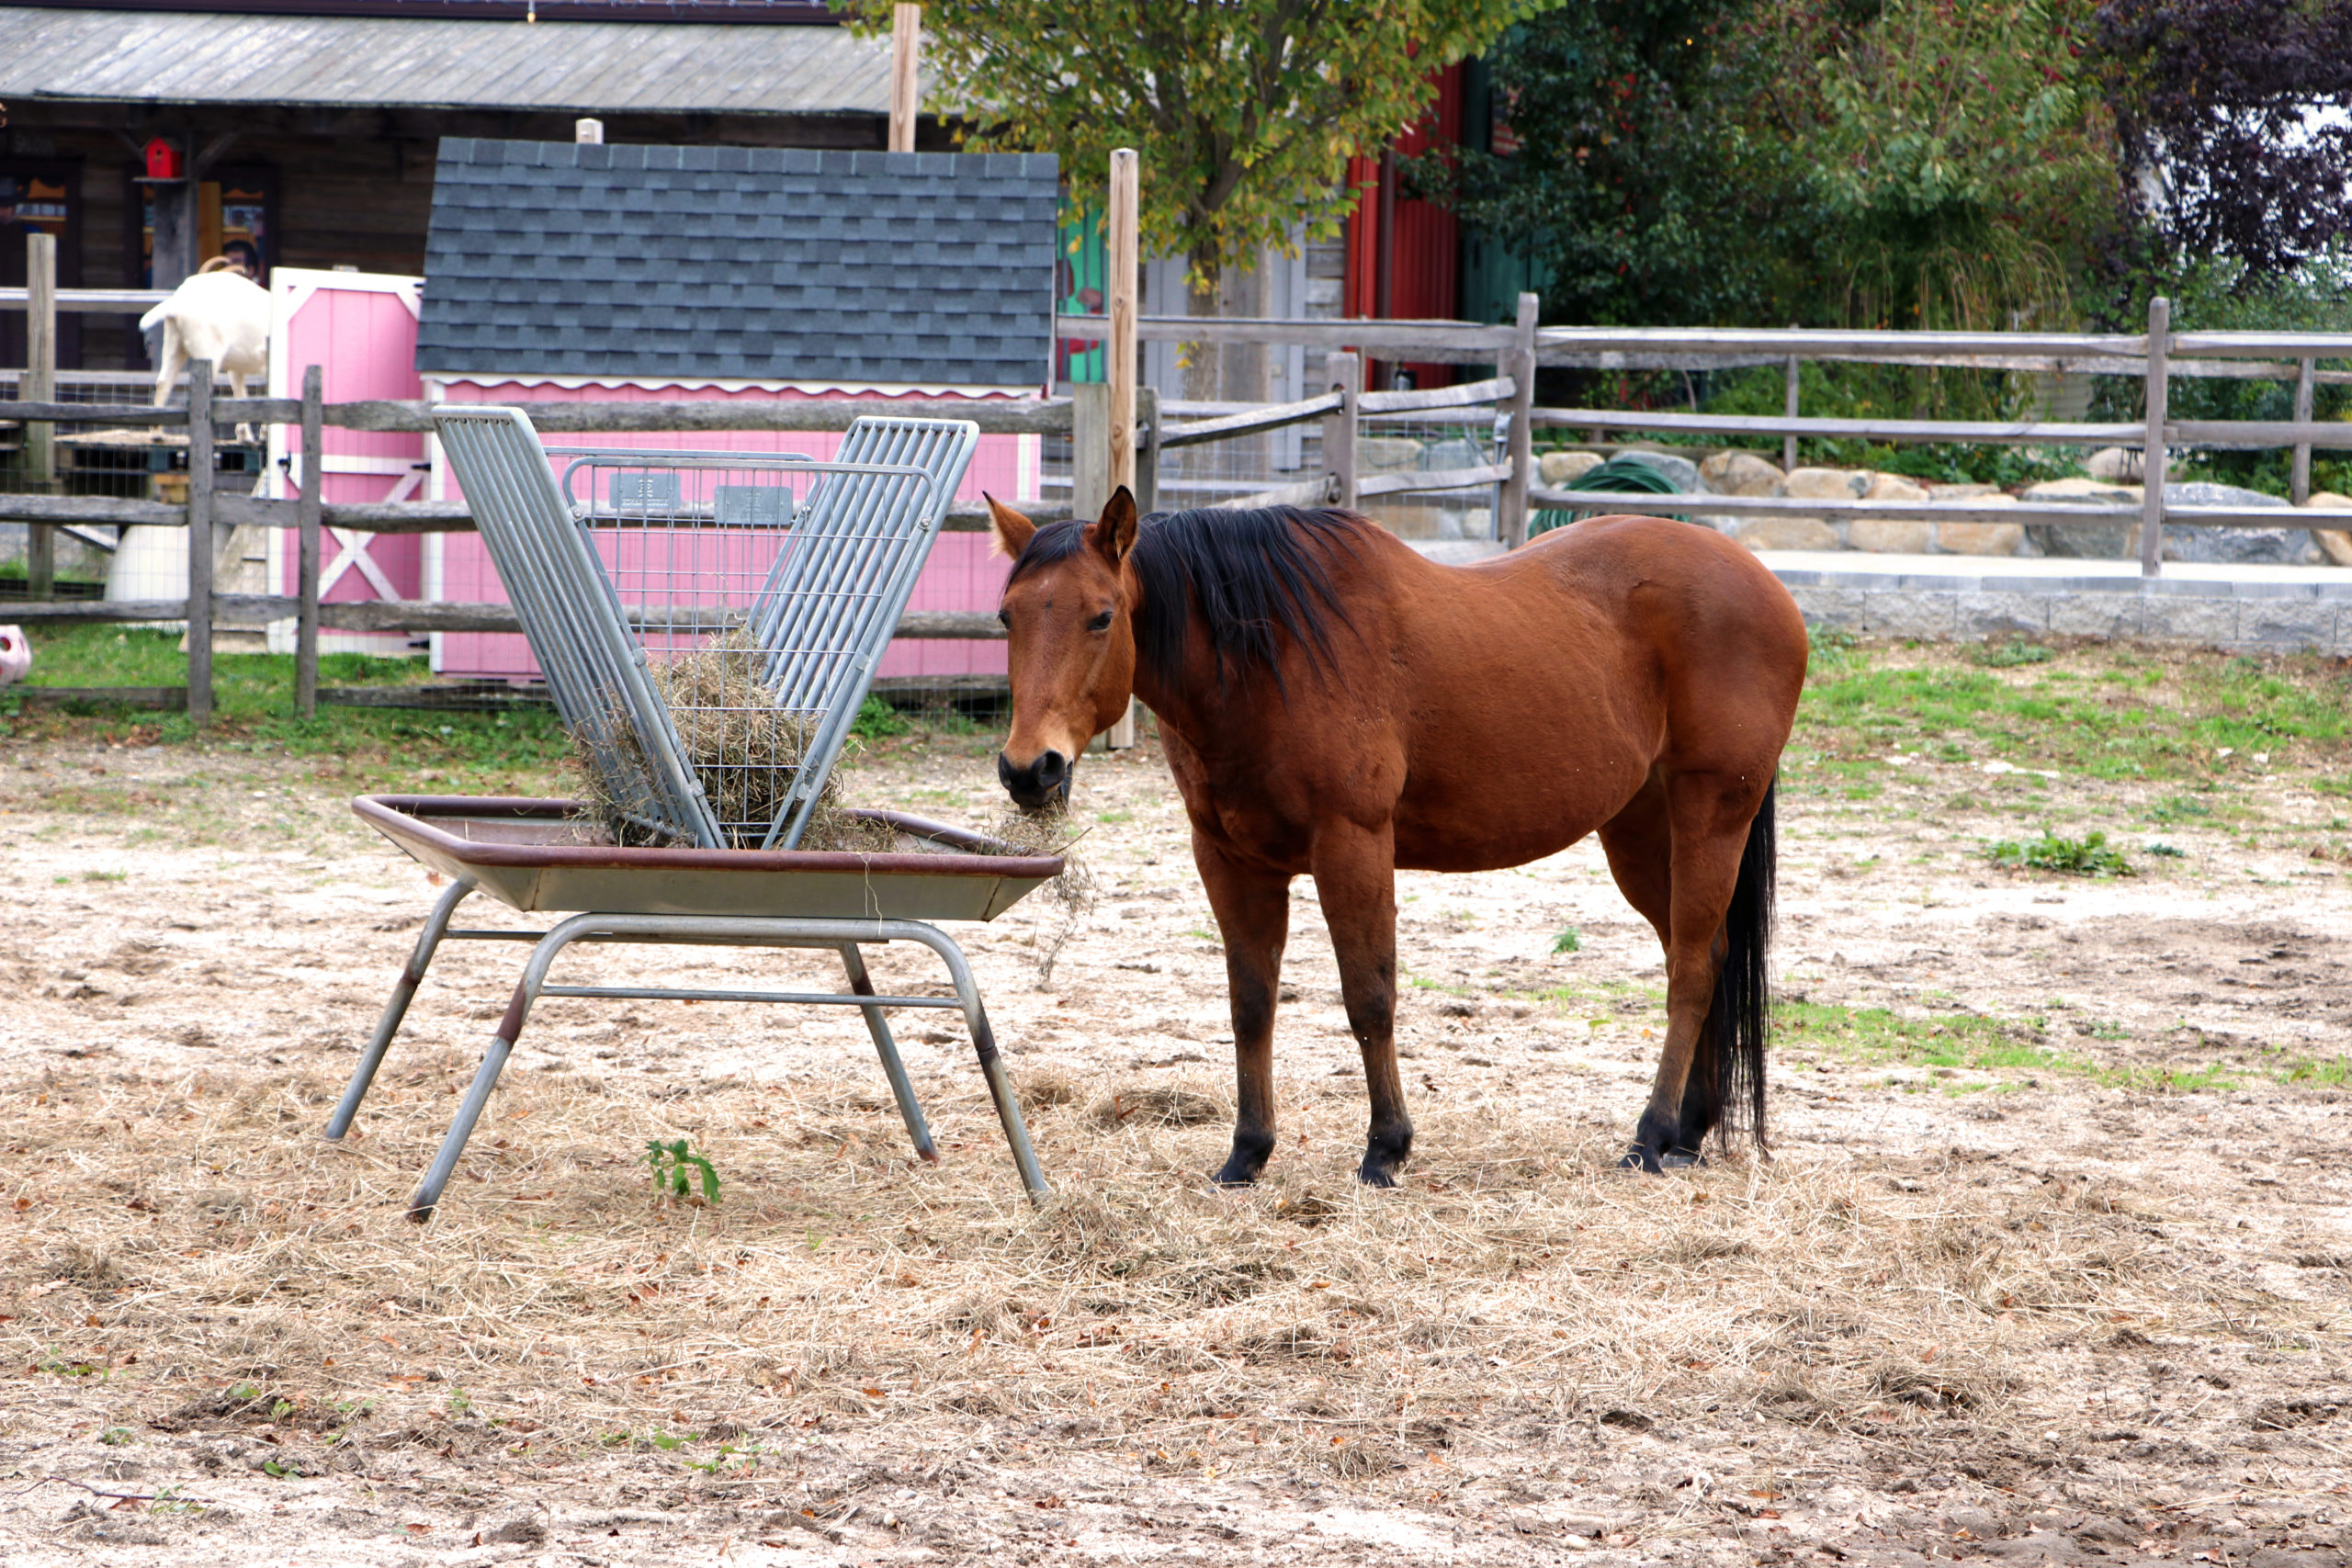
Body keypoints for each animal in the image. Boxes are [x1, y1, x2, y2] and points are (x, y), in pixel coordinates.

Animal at [985, 487, 1809, 1181]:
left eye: (1101, 615)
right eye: (1007, 617)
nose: (1031, 768)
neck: (1267, 658)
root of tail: (1766, 586)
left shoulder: (1352, 845)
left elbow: (1369, 996)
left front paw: (1386, 1147)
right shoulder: (1231, 860)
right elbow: (1251, 1003)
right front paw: (1248, 1152)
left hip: (1711, 815)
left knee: (1692, 970)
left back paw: (1650, 1134)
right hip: (1640, 832)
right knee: (1703, 955)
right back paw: (1689, 1131)